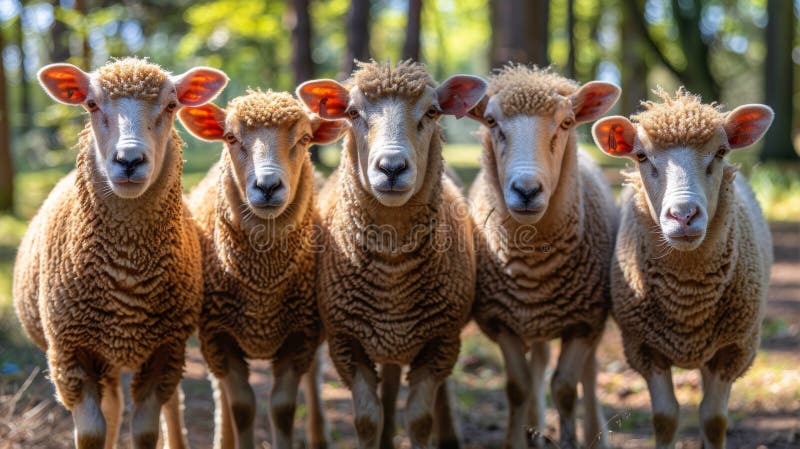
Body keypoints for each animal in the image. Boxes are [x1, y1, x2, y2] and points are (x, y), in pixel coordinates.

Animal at [13, 58, 227, 449]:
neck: (127, 273)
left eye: (171, 105)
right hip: (103, 354)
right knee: (112, 404)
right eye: (91, 104)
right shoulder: (70, 354)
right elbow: (91, 432)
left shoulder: (165, 349)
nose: (129, 160)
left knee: (169, 403)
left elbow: (145, 430)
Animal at [178, 89, 348, 449]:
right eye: (230, 137)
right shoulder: (218, 335)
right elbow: (241, 406)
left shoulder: (300, 335)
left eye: (304, 138)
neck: (263, 291)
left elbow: (282, 409)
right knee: (220, 390)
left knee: (314, 377)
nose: (268, 186)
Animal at [296, 60, 486, 449]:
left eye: (432, 112)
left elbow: (420, 419)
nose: (392, 167)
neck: (392, 274)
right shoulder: (345, 341)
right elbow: (368, 419)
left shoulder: (441, 341)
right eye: (352, 113)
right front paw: (375, 434)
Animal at [464, 65, 619, 449]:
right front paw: (515, 440)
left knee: (590, 374)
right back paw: (534, 429)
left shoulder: (584, 322)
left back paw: (595, 434)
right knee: (538, 363)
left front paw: (570, 441)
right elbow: (518, 386)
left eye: (567, 122)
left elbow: (565, 387)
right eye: (491, 121)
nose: (526, 190)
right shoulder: (500, 321)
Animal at [591, 87, 774, 449]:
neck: (687, 298)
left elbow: (714, 420)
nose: (684, 215)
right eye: (641, 156)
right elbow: (665, 418)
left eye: (721, 152)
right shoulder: (643, 348)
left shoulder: (735, 350)